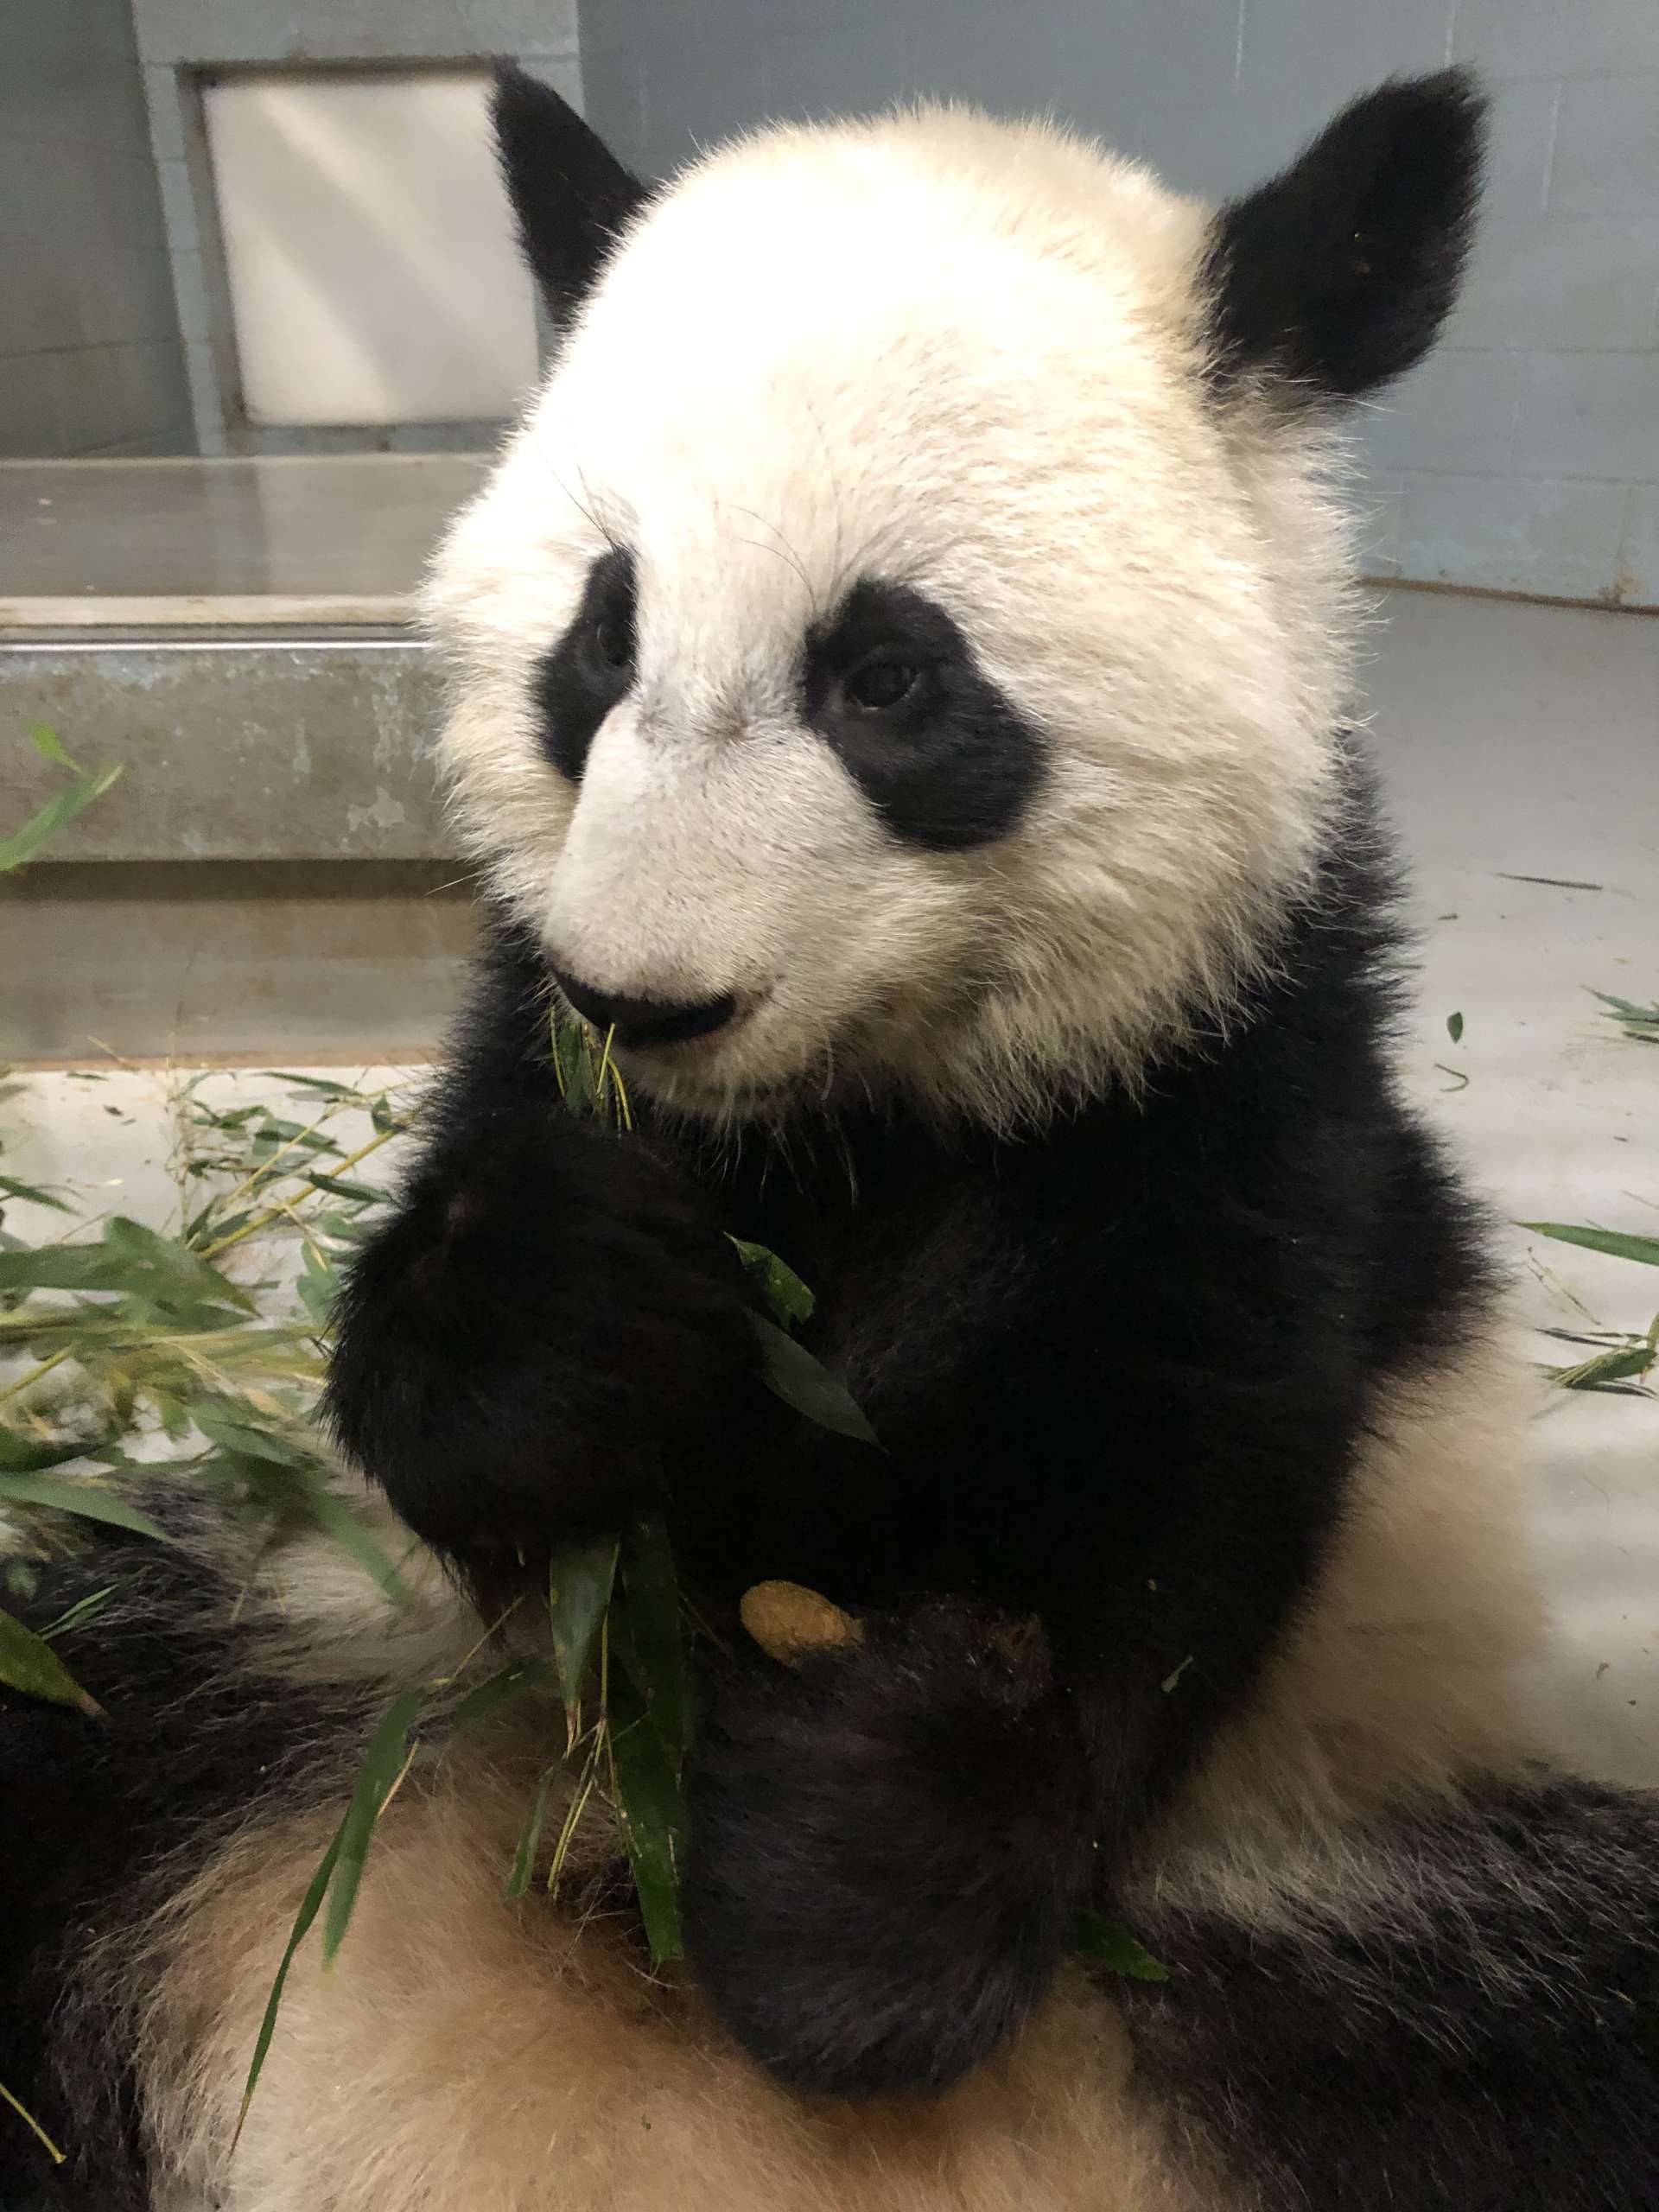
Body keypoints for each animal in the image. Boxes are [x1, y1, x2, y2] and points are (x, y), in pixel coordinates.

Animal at [4, 61, 1658, 2212]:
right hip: (226, 1689)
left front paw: (860, 1870)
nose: (649, 1000)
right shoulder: (527, 1067)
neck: (849, 1122)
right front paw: (582, 1307)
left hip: (1407, 1864)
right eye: (600, 642)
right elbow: (485, 1448)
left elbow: (1178, 1490)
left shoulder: (1239, 1091)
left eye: (887, 676)